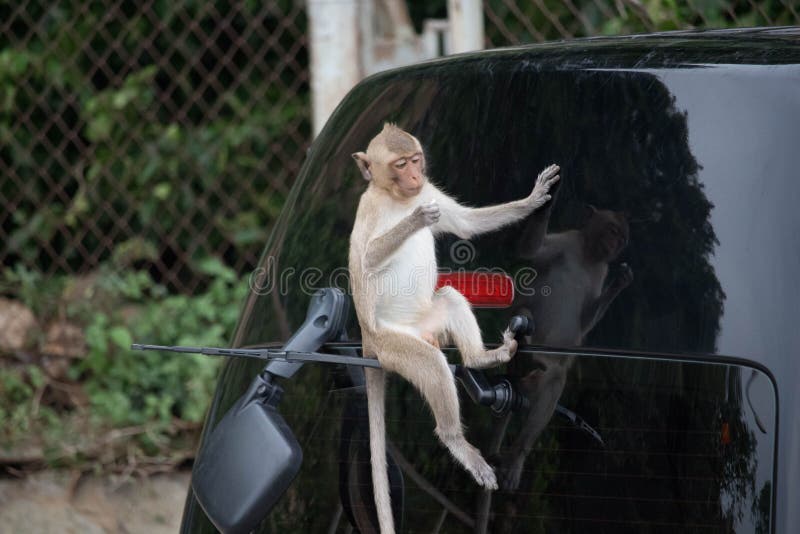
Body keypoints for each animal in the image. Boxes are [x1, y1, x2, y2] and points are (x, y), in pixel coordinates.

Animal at [348, 123, 560, 534]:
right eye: (400, 165)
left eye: (416, 160)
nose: (416, 178)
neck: (394, 197)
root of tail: (370, 340)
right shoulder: (372, 209)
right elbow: (367, 258)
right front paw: (415, 221)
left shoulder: (429, 192)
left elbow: (465, 224)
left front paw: (532, 200)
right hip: (395, 346)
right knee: (431, 364)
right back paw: (456, 441)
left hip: (427, 321)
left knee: (449, 297)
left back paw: (481, 358)